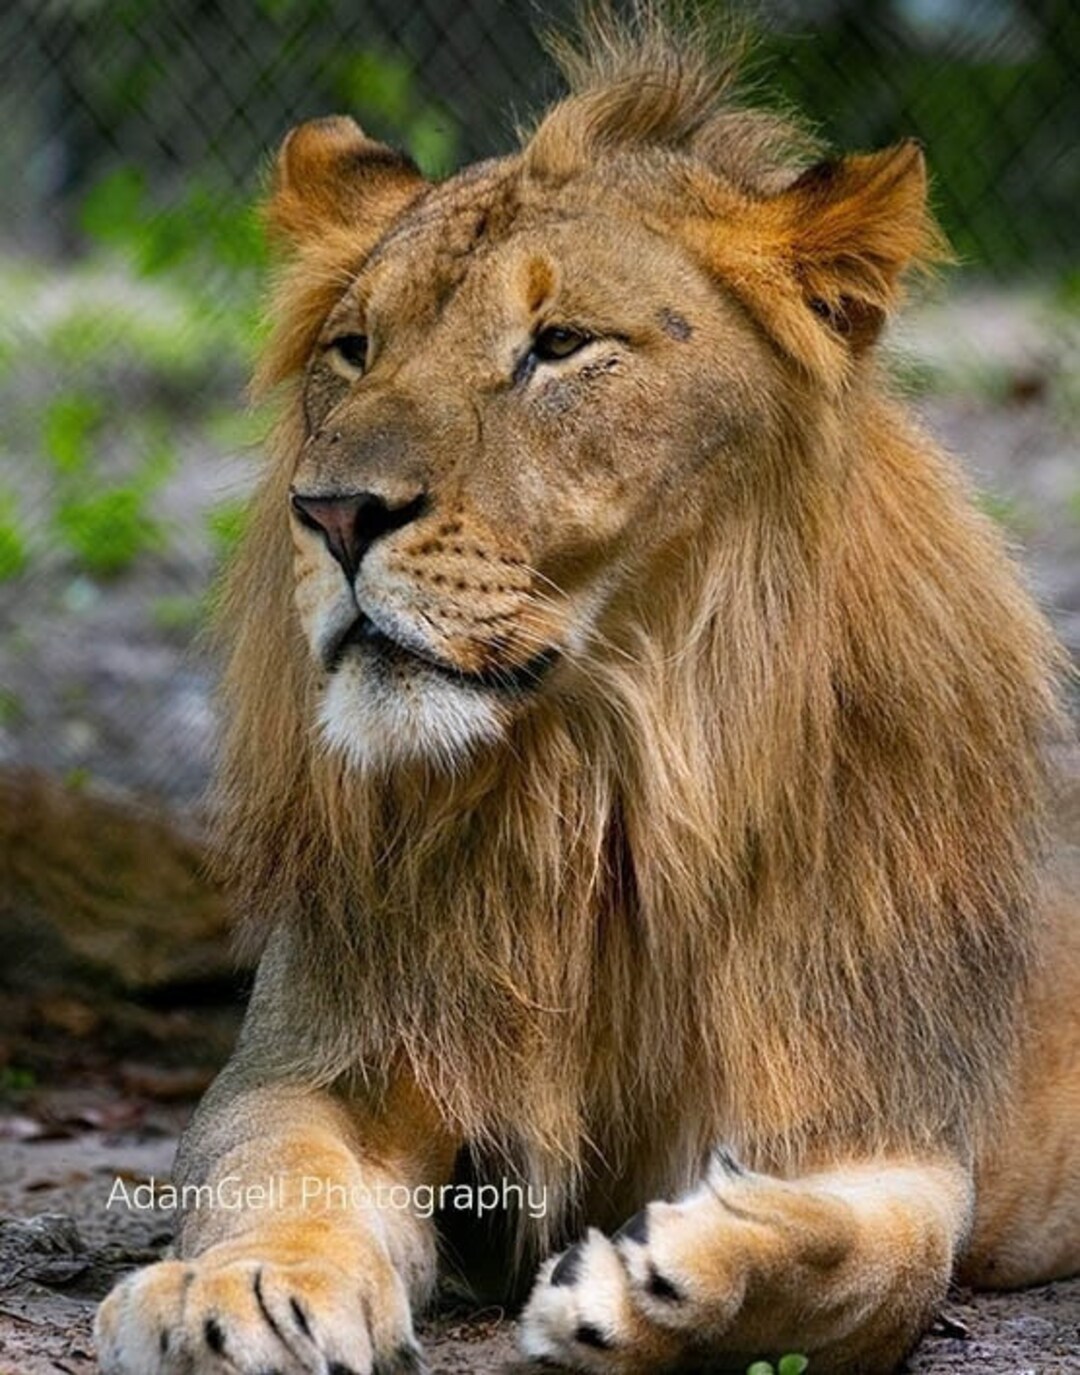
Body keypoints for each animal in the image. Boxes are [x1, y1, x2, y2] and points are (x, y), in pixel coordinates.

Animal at [96, 7, 1080, 1373]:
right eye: (355, 348)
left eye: (558, 347)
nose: (333, 513)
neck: (600, 775)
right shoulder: (318, 1057)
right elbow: (271, 1170)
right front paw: (241, 1289)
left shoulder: (881, 1116)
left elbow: (873, 1259)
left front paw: (669, 1282)